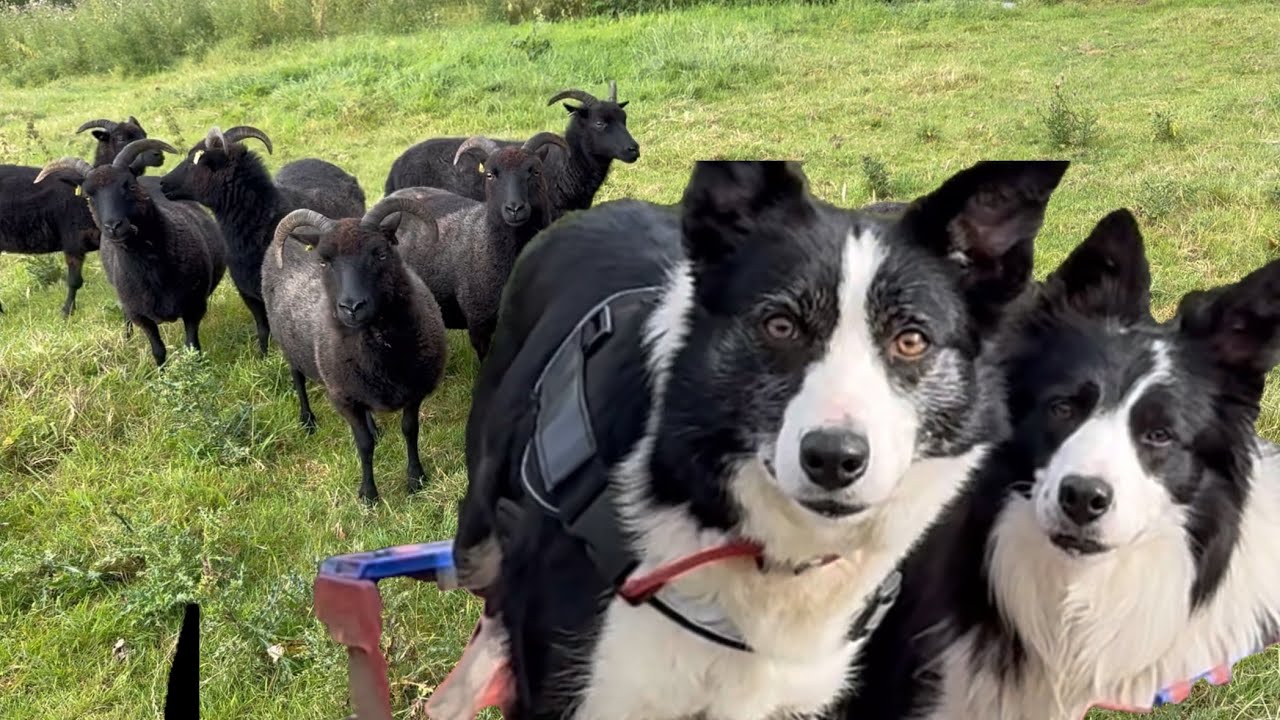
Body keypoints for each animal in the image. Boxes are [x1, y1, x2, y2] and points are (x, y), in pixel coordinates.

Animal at [0, 116, 151, 317]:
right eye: (120, 138)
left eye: (144, 134)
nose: (157, 155)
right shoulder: (73, 244)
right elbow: (74, 281)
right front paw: (66, 312)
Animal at [35, 139, 227, 367]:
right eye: (88, 197)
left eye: (130, 185)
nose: (114, 226)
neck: (151, 267)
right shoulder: (140, 316)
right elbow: (158, 351)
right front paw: (161, 373)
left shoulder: (194, 307)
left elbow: (192, 348)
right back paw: (128, 338)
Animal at [160, 125, 367, 356]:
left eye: (196, 161)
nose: (162, 183)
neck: (264, 216)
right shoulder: (247, 293)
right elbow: (262, 328)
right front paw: (263, 355)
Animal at [261, 196, 448, 503]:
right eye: (323, 261)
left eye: (381, 254)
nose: (352, 307)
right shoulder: (343, 397)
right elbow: (364, 444)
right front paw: (369, 494)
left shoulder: (415, 390)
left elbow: (410, 431)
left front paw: (416, 479)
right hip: (288, 346)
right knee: (297, 379)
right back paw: (308, 421)